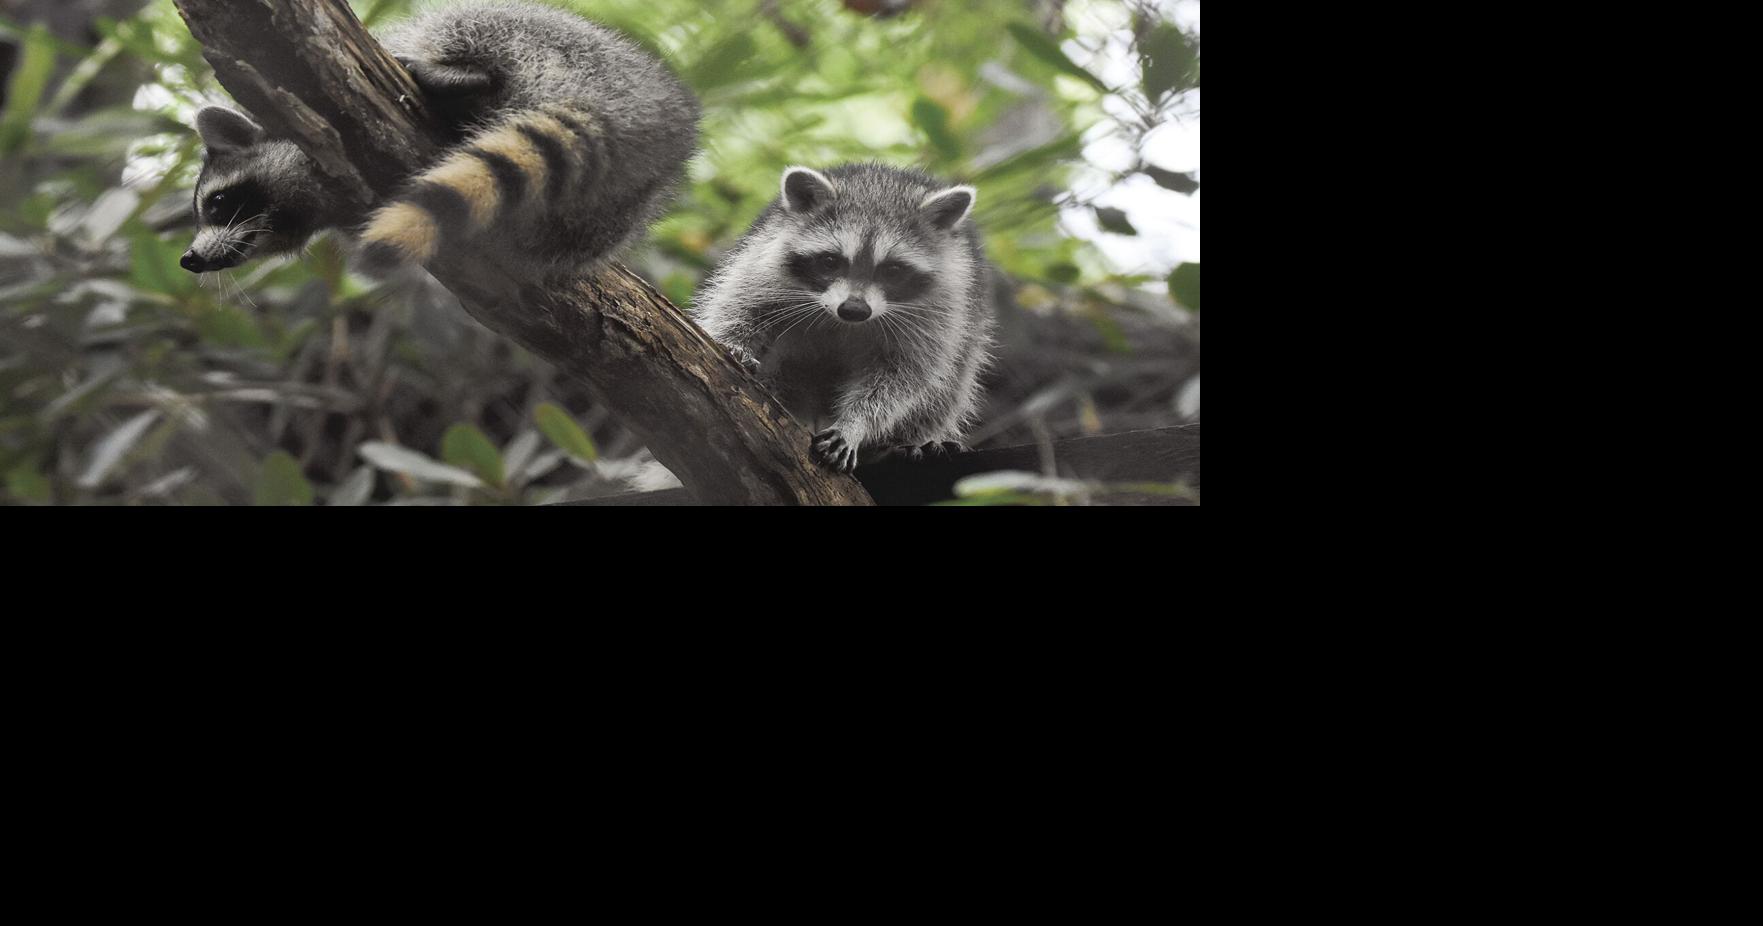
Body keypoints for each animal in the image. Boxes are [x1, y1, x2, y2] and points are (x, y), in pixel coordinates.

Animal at [183, 0, 699, 279]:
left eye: (218, 204)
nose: (189, 260)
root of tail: (634, 108)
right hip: (606, 215)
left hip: (549, 41)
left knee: (464, 22)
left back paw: (463, 80)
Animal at [693, 163, 994, 472]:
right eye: (830, 261)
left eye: (892, 270)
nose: (854, 310)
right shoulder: (765, 262)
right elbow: (741, 308)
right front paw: (733, 342)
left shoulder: (940, 308)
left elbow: (903, 376)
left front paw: (855, 423)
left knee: (950, 384)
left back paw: (903, 442)